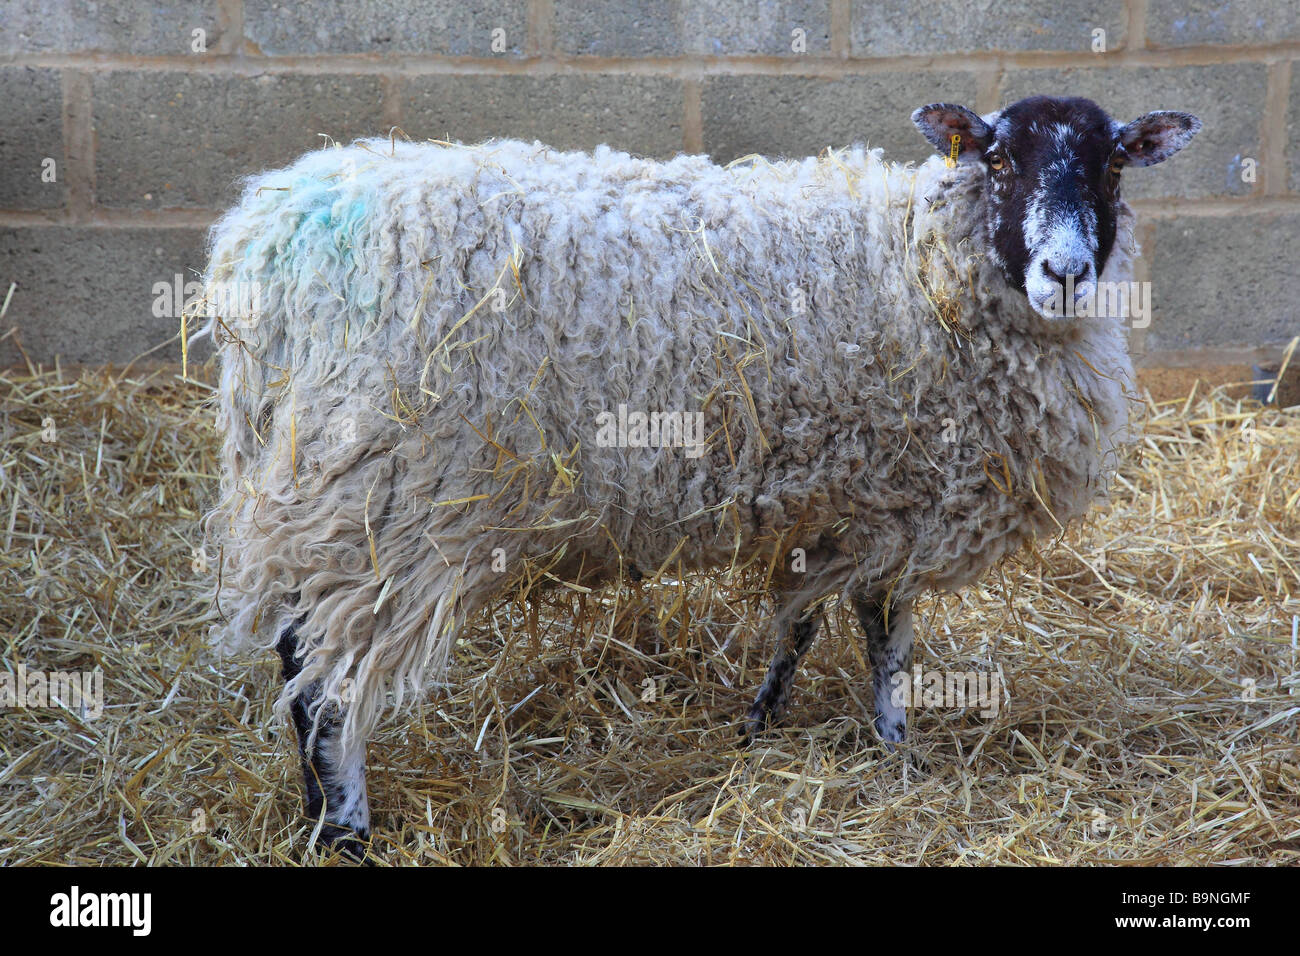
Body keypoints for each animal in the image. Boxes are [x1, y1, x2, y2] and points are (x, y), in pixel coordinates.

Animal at [197, 95, 1200, 855]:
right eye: (996, 159)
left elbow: (803, 623)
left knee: (295, 654)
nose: (1065, 270)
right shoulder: (901, 504)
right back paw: (347, 830)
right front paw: (894, 746)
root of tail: (267, 241)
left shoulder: (837, 504)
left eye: (1114, 165)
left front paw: (761, 725)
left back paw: (315, 818)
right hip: (384, 497)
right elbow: (884, 637)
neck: (919, 259)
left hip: (317, 494)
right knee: (327, 684)